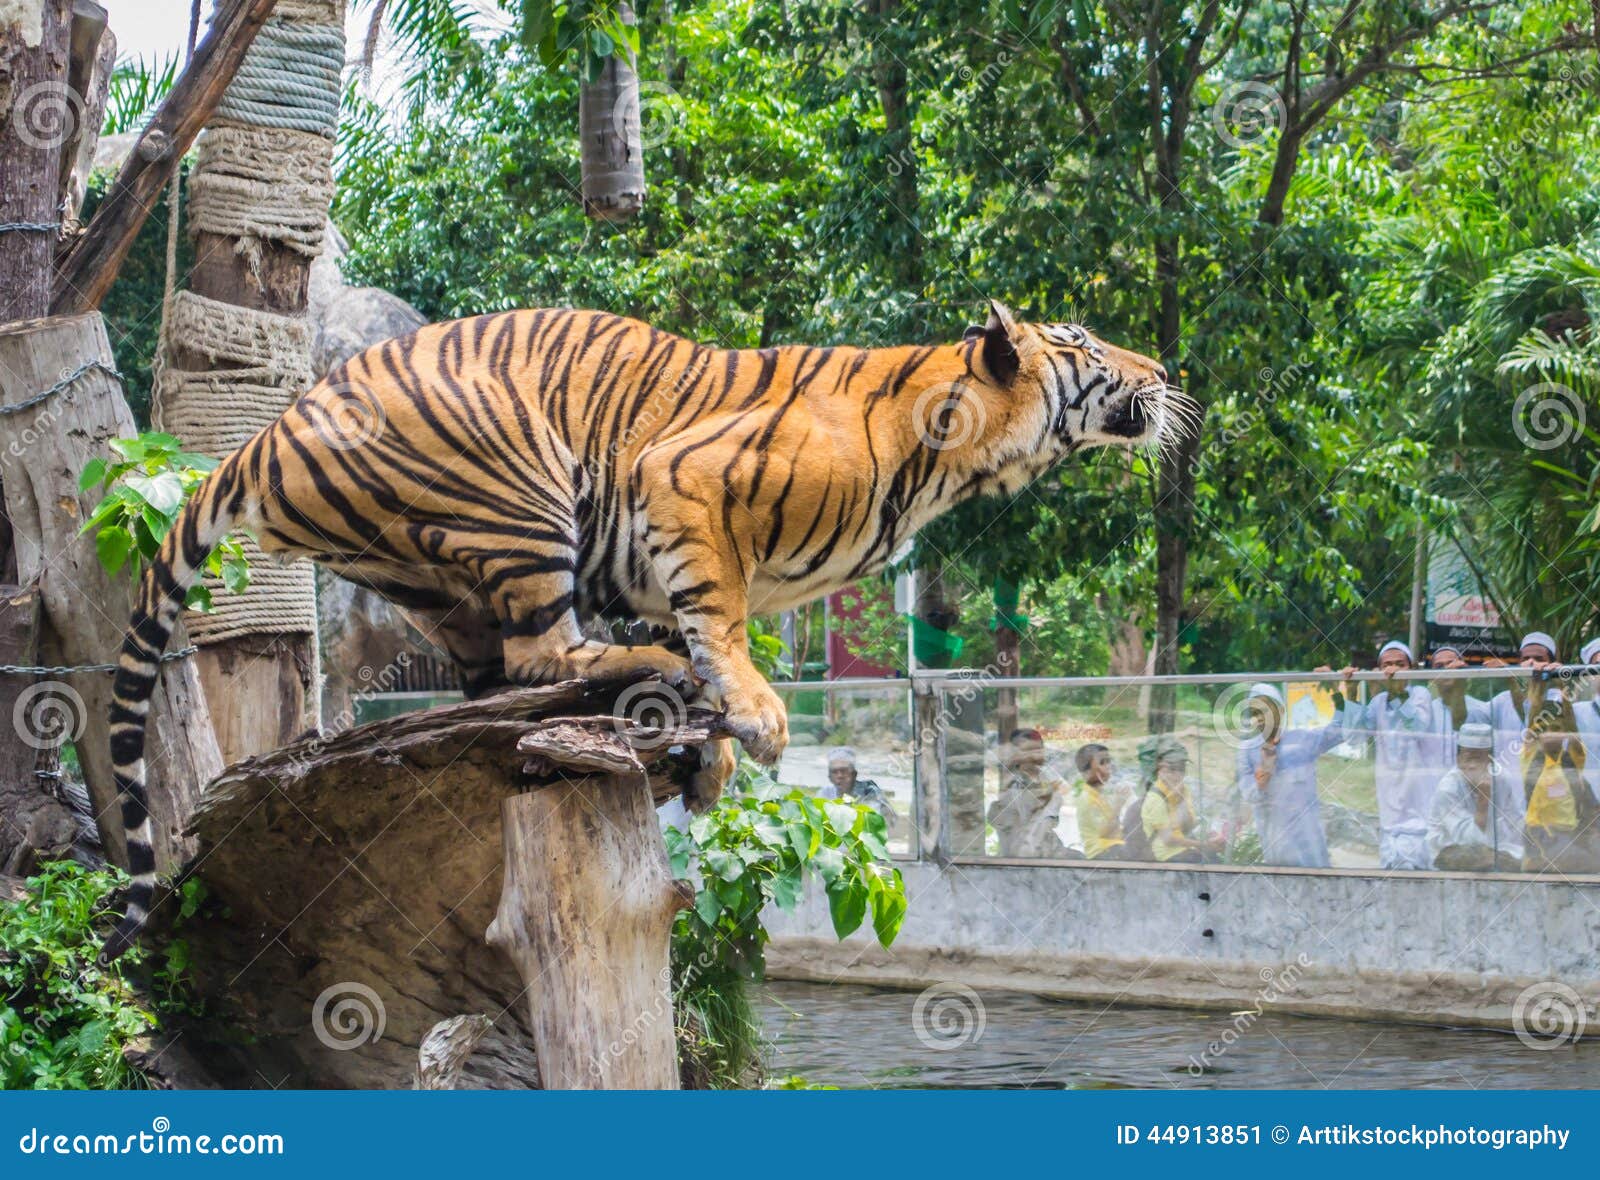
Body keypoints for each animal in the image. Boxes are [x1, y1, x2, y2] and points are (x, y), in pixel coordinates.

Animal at [100, 299, 1187, 961]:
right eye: (1088, 347)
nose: (1164, 366)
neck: (955, 453)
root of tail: (267, 430)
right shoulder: (684, 479)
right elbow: (722, 621)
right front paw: (753, 718)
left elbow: (707, 625)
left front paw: (713, 756)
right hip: (522, 486)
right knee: (543, 652)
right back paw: (644, 664)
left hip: (434, 576)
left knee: (502, 681)